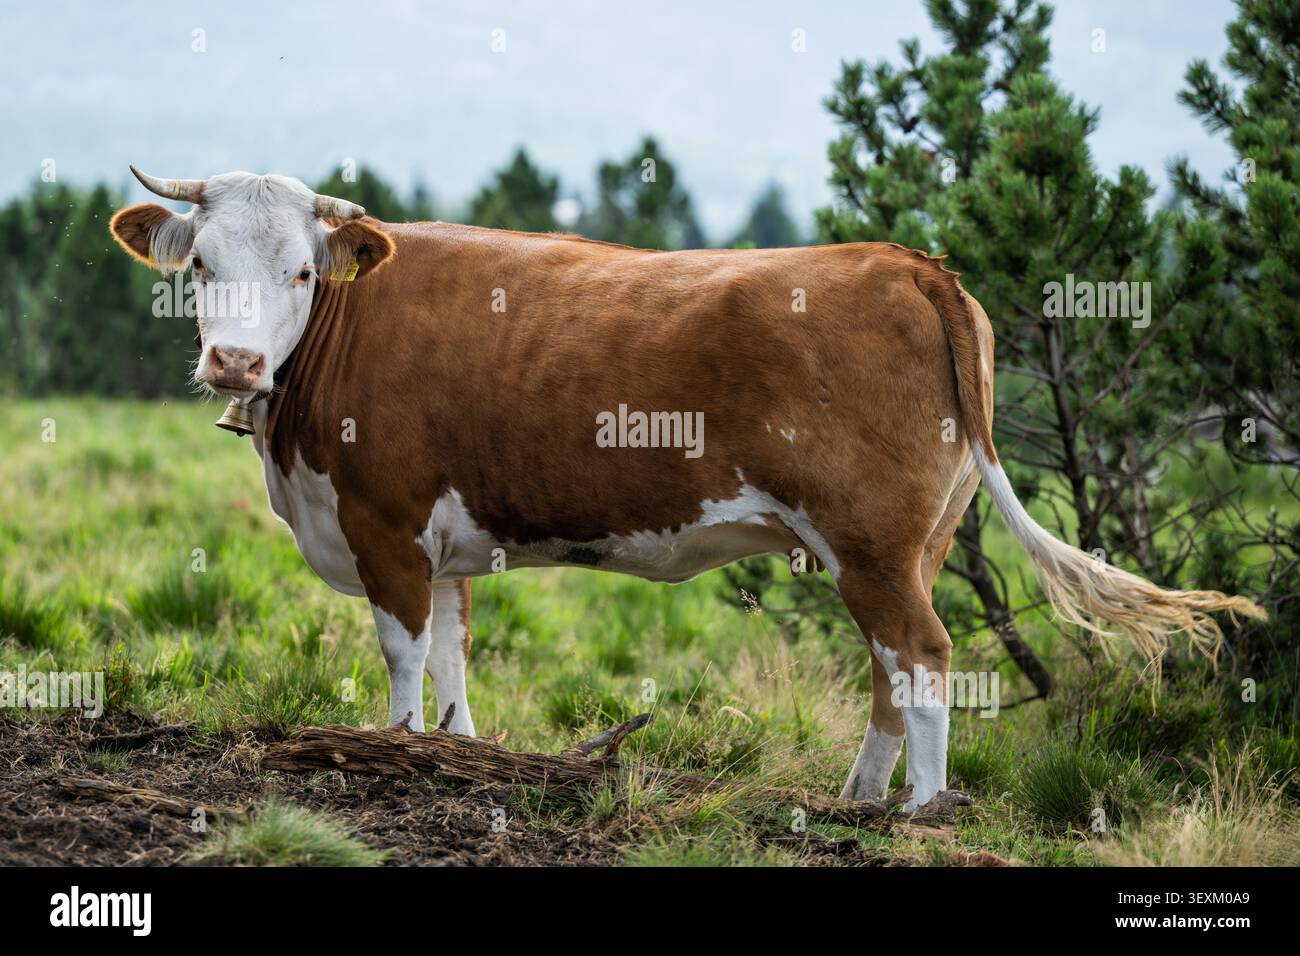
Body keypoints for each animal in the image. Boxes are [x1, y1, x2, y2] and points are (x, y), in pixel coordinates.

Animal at [110, 167, 1264, 811]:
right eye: (201, 264)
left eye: (302, 271)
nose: (234, 364)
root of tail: (904, 261)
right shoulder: (443, 543)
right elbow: (450, 657)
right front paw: (457, 752)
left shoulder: (384, 524)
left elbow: (401, 659)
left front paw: (391, 754)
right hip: (909, 545)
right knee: (890, 667)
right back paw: (858, 799)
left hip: (871, 539)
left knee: (924, 658)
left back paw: (921, 812)